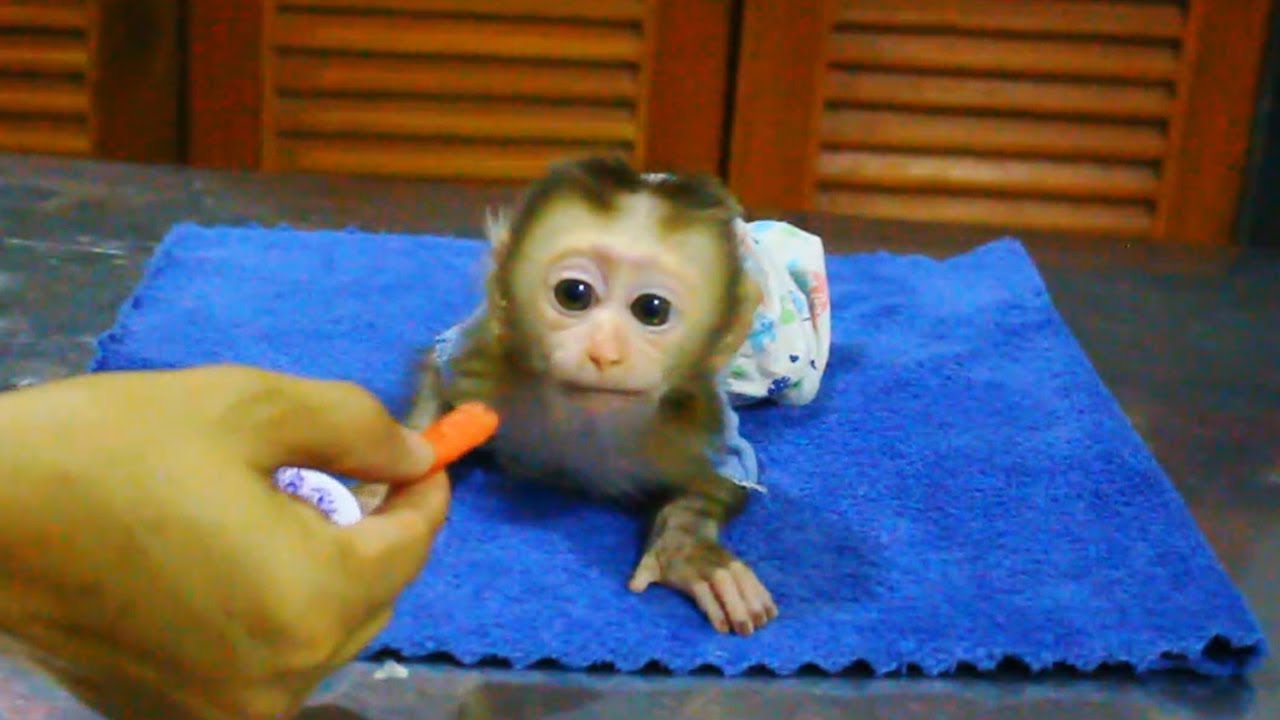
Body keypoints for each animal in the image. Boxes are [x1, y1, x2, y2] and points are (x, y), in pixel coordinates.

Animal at [359, 156, 790, 636]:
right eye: (574, 294)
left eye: (652, 309)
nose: (604, 353)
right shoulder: (494, 372)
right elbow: (440, 380)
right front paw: (380, 486)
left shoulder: (685, 432)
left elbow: (722, 477)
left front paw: (688, 551)